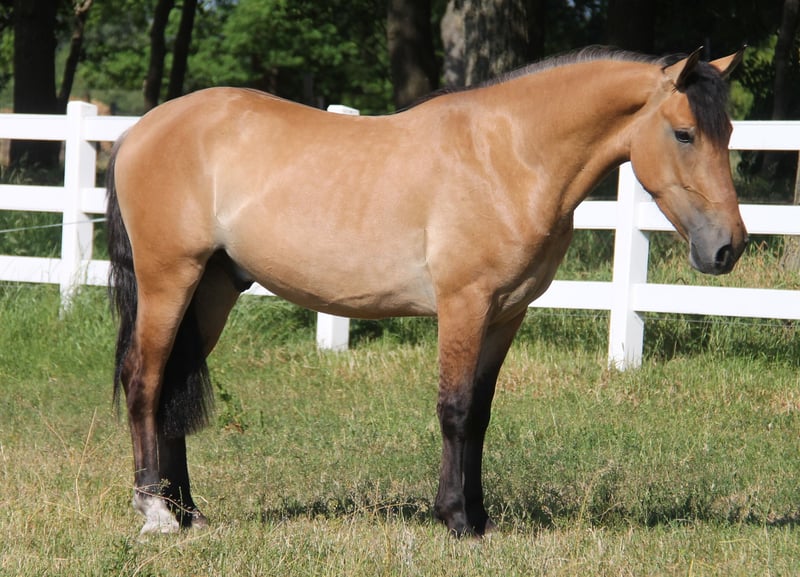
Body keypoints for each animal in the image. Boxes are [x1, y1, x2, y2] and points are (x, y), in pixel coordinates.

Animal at [107, 47, 747, 537]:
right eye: (684, 133)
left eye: (729, 133)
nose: (729, 247)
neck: (507, 157)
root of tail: (141, 128)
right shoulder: (464, 304)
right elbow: (455, 409)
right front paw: (456, 519)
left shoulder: (506, 314)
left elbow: (481, 413)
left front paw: (481, 516)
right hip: (170, 278)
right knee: (146, 381)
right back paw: (156, 512)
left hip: (213, 288)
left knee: (172, 388)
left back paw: (189, 512)